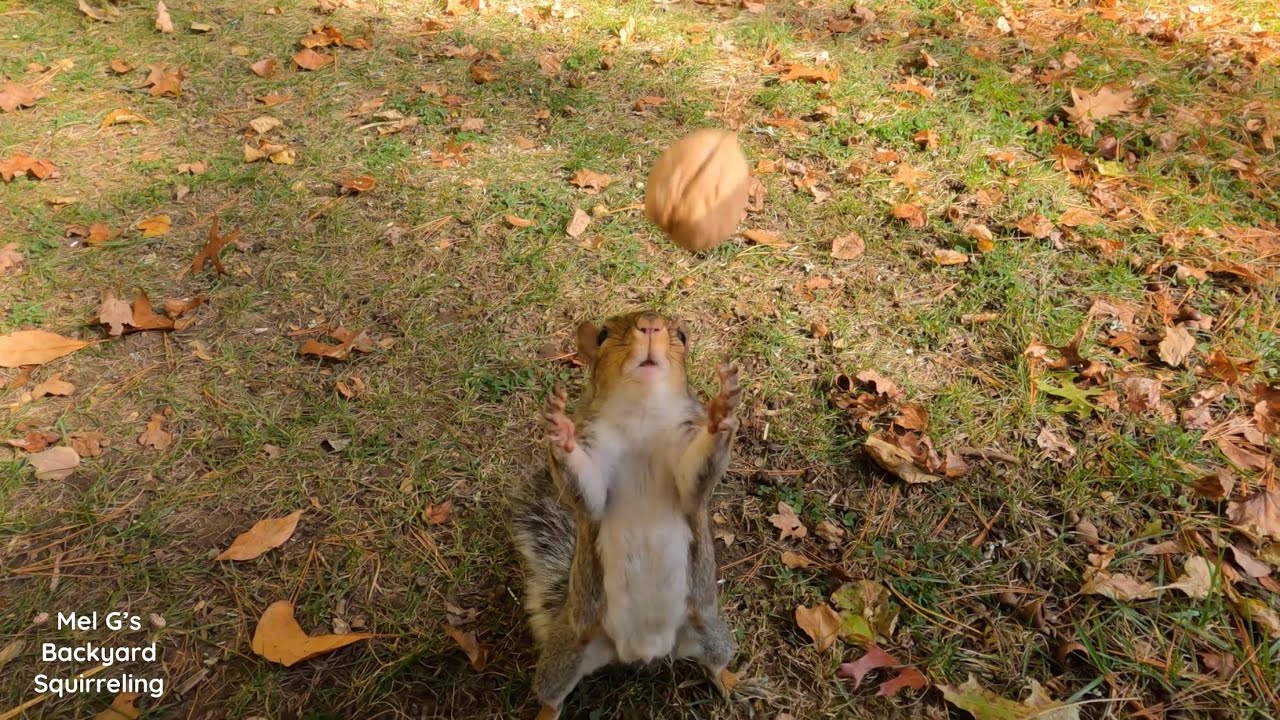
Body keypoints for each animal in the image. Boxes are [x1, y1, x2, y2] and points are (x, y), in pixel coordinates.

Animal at [510, 311, 743, 720]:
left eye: (681, 335)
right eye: (603, 334)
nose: (650, 325)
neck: (642, 413)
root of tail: (643, 652)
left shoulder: (686, 471)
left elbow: (694, 478)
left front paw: (723, 409)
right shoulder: (596, 458)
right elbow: (588, 492)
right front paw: (560, 431)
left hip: (710, 632)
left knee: (715, 664)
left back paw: (733, 683)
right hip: (568, 651)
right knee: (552, 695)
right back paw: (545, 713)